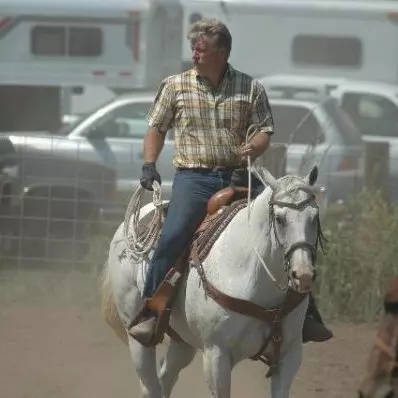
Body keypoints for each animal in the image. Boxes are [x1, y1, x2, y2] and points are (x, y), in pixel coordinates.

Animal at [100, 163, 324, 396]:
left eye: (315, 216)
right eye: (280, 219)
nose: (303, 274)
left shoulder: (290, 355)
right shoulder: (216, 355)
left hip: (183, 341)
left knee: (166, 377)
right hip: (136, 335)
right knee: (149, 384)